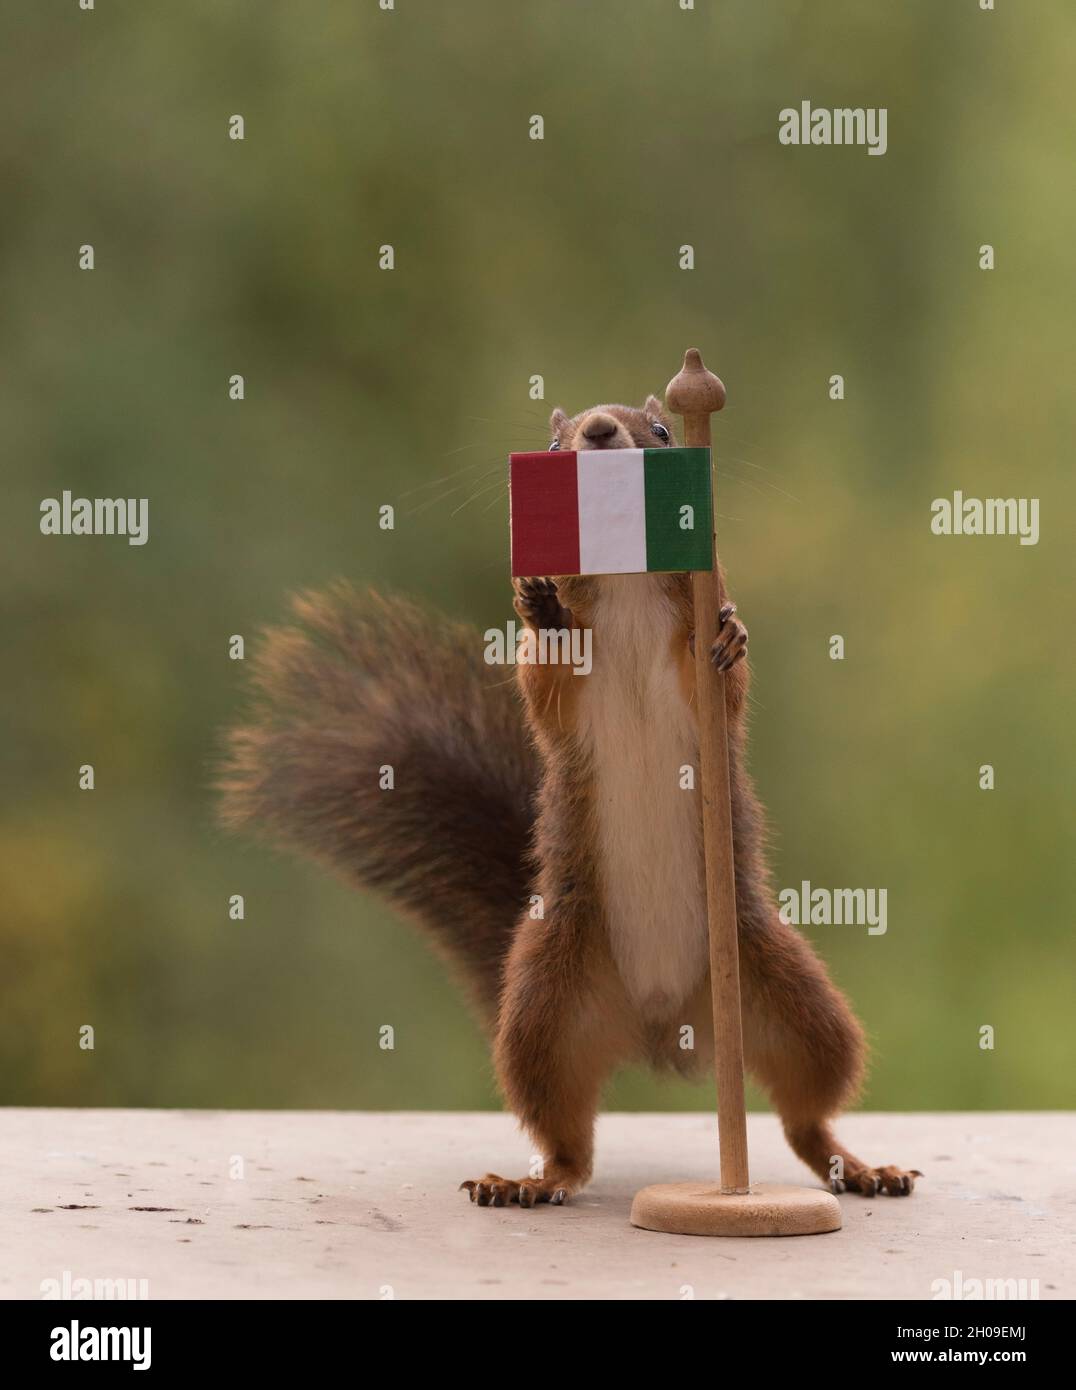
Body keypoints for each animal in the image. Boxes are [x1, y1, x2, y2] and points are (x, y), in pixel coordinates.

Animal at [219, 391, 921, 1209]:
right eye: (553, 443)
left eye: (661, 429)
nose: (597, 431)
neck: (625, 598)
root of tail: (663, 1027)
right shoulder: (564, 702)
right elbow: (545, 687)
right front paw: (544, 610)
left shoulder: (703, 672)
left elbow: (723, 689)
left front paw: (731, 634)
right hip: (544, 1014)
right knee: (568, 1140)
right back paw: (526, 1183)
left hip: (793, 1002)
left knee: (806, 1115)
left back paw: (861, 1169)